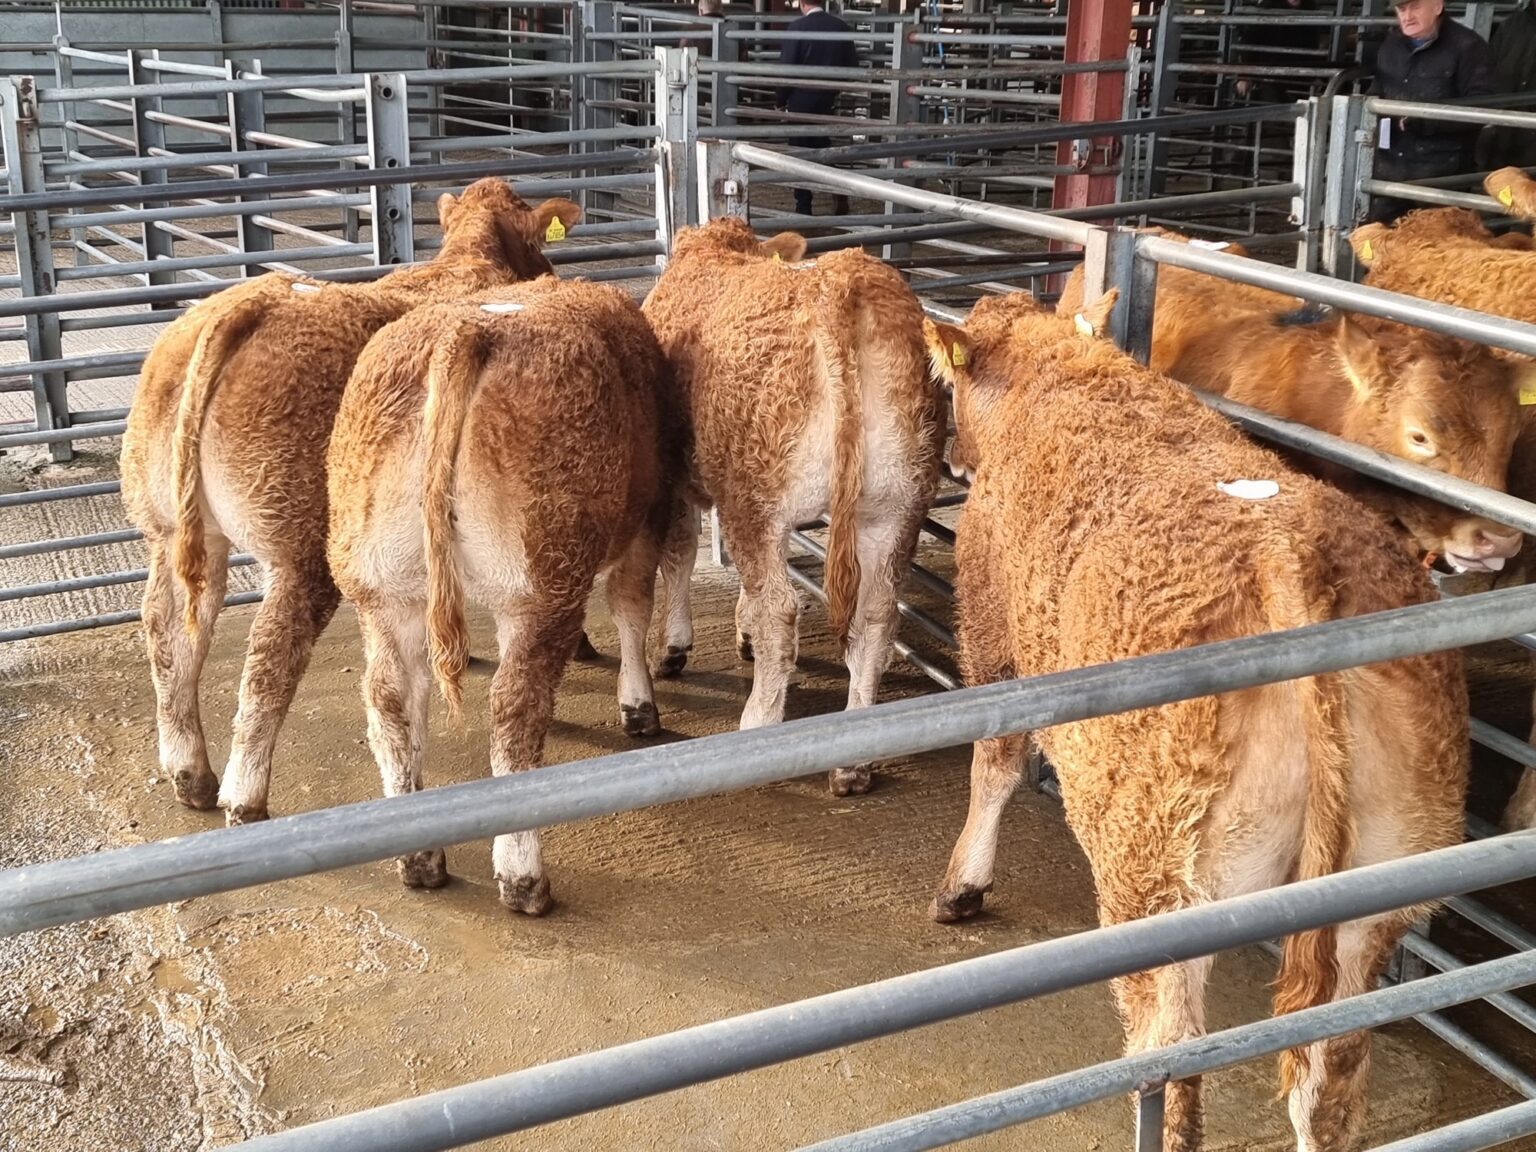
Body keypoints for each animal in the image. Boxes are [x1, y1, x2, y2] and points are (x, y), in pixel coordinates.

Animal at [121, 179, 581, 825]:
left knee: (168, 629)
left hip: (170, 525)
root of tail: (247, 304)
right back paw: (245, 796)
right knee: (268, 658)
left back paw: (191, 773)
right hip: (300, 544)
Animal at [325, 277, 681, 911]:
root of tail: (463, 331)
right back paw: (523, 877)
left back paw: (419, 857)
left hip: (379, 585)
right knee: (515, 704)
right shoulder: (649, 514)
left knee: (392, 696)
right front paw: (639, 705)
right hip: (540, 583)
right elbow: (632, 607)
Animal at [642, 217, 945, 797]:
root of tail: (843, 284)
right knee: (875, 615)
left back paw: (758, 725)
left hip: (755, 493)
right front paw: (740, 633)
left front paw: (674, 646)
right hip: (898, 503)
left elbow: (681, 554)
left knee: (781, 608)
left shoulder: (678, 478)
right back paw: (852, 760)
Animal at [925, 289, 1467, 1152]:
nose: (948, 456)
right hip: (1387, 874)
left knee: (1170, 1058)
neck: (1064, 379)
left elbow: (996, 762)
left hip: (1159, 875)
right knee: (1331, 1075)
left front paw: (962, 887)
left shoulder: (991, 622)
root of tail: (1292, 557)